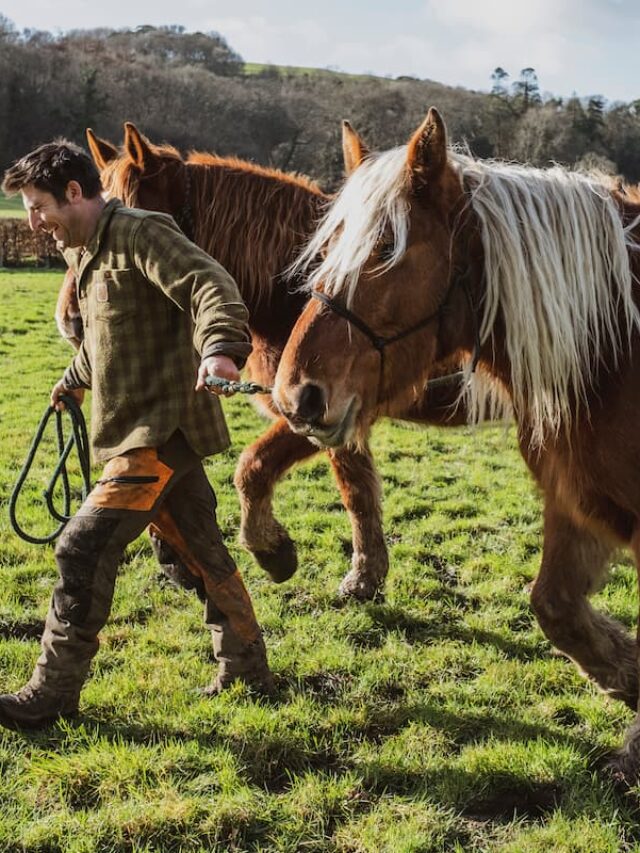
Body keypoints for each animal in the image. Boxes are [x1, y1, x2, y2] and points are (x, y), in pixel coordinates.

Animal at [54, 121, 481, 601]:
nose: (71, 321)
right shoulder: (333, 416)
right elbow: (356, 488)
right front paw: (366, 574)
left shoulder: (317, 413)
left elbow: (254, 468)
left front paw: (275, 551)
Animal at [273, 107, 640, 780]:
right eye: (328, 246)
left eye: (385, 249)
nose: (296, 396)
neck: (614, 350)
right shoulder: (578, 504)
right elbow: (555, 609)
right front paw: (631, 684)